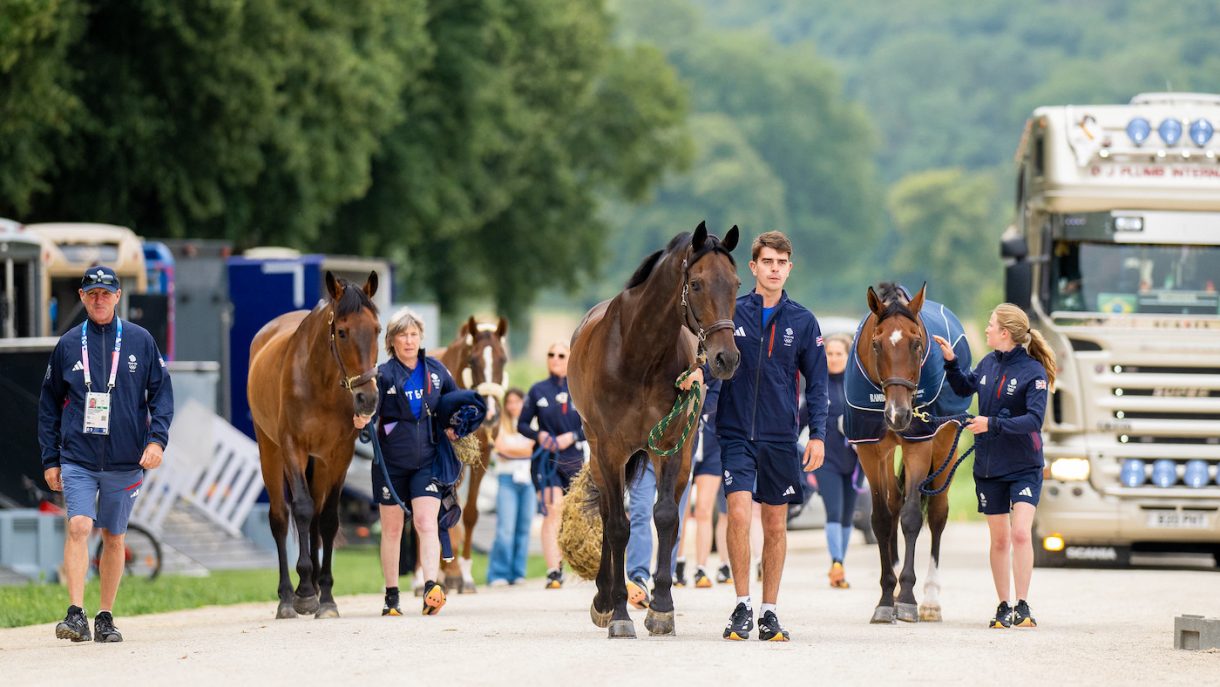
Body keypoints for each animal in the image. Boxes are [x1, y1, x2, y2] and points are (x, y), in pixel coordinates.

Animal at [248, 271, 381, 619]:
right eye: (342, 332)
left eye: (377, 329)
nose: (368, 398)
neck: (320, 382)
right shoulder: (293, 448)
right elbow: (303, 510)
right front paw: (305, 593)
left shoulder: (338, 456)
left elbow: (329, 520)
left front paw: (327, 597)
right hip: (270, 451)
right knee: (281, 518)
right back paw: (286, 597)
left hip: (318, 463)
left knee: (318, 520)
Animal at [432, 316, 509, 593]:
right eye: (473, 360)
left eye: (503, 359)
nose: (491, 414)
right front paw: (447, 574)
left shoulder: (481, 457)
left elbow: (471, 514)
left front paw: (464, 576)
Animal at [568, 221, 741, 639]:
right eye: (696, 283)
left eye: (737, 283)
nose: (725, 358)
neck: (638, 353)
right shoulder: (610, 450)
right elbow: (617, 526)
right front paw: (618, 613)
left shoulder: (671, 443)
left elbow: (665, 517)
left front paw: (661, 609)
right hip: (598, 453)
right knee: (608, 514)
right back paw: (604, 598)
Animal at [844, 282, 972, 624]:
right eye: (876, 345)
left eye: (916, 344)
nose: (898, 415)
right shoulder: (869, 449)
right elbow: (881, 519)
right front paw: (886, 598)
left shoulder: (919, 443)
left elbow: (912, 517)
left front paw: (907, 599)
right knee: (894, 504)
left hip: (946, 441)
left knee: (938, 514)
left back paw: (930, 599)